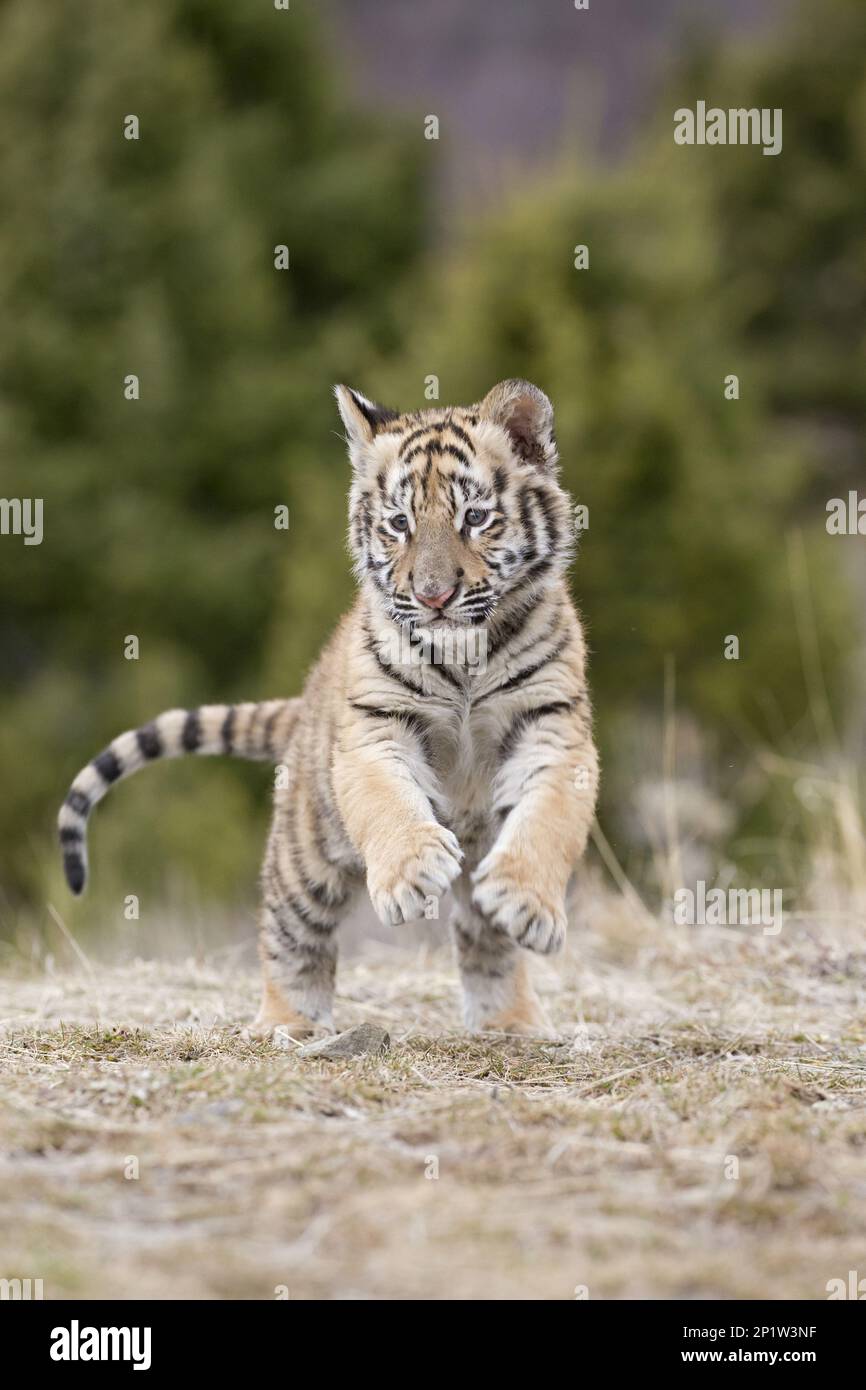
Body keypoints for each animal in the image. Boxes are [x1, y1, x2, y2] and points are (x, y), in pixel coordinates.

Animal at [58, 379, 599, 1038]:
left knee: (484, 942)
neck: (466, 655)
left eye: (475, 517)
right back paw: (289, 1023)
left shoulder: (554, 729)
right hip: (306, 855)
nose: (434, 596)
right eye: (399, 523)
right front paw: (412, 873)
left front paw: (525, 901)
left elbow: (552, 818)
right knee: (290, 933)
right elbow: (388, 802)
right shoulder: (374, 730)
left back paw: (510, 1023)